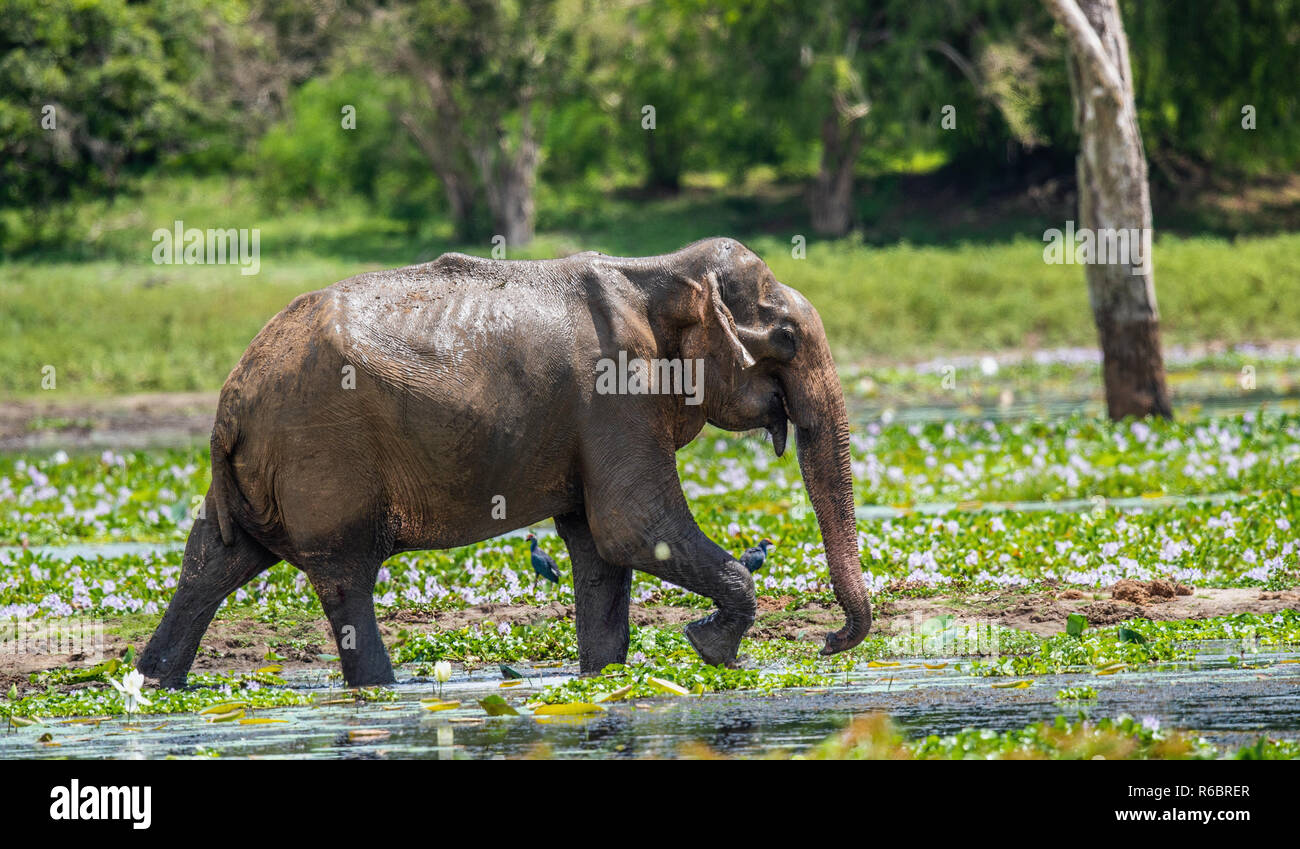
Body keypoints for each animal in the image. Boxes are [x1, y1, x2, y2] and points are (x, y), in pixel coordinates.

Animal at [139, 235, 873, 686]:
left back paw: (153, 683)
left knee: (215, 560)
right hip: (320, 456)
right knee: (346, 575)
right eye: (784, 337)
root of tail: (230, 400)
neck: (662, 271)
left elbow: (599, 548)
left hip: (264, 471)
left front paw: (604, 677)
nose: (827, 644)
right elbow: (633, 527)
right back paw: (380, 687)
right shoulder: (616, 393)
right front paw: (711, 648)